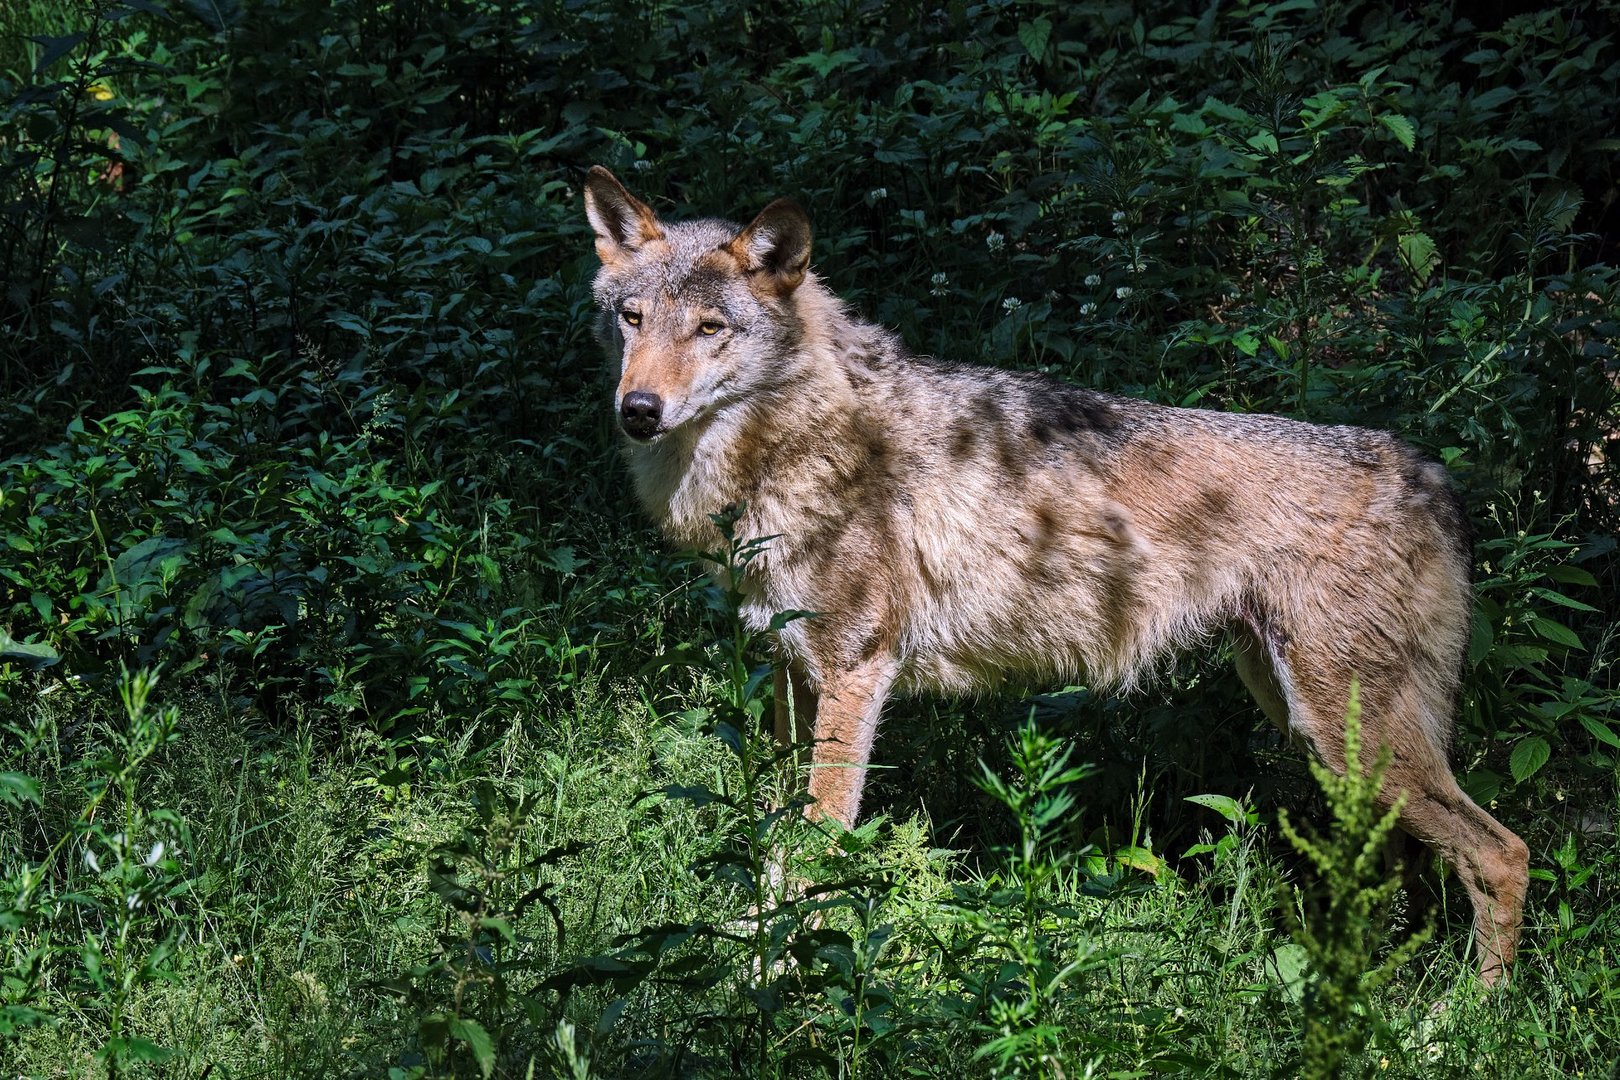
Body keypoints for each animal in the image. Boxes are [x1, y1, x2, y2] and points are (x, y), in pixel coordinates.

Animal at [583, 165, 1529, 984]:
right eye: (633, 319)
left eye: (710, 330)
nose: (638, 411)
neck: (782, 451)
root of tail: (1429, 471)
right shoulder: (788, 674)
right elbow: (773, 849)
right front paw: (755, 962)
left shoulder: (856, 672)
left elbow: (818, 846)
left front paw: (787, 978)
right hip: (1314, 727)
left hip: (1348, 736)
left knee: (1503, 856)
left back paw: (1455, 1020)